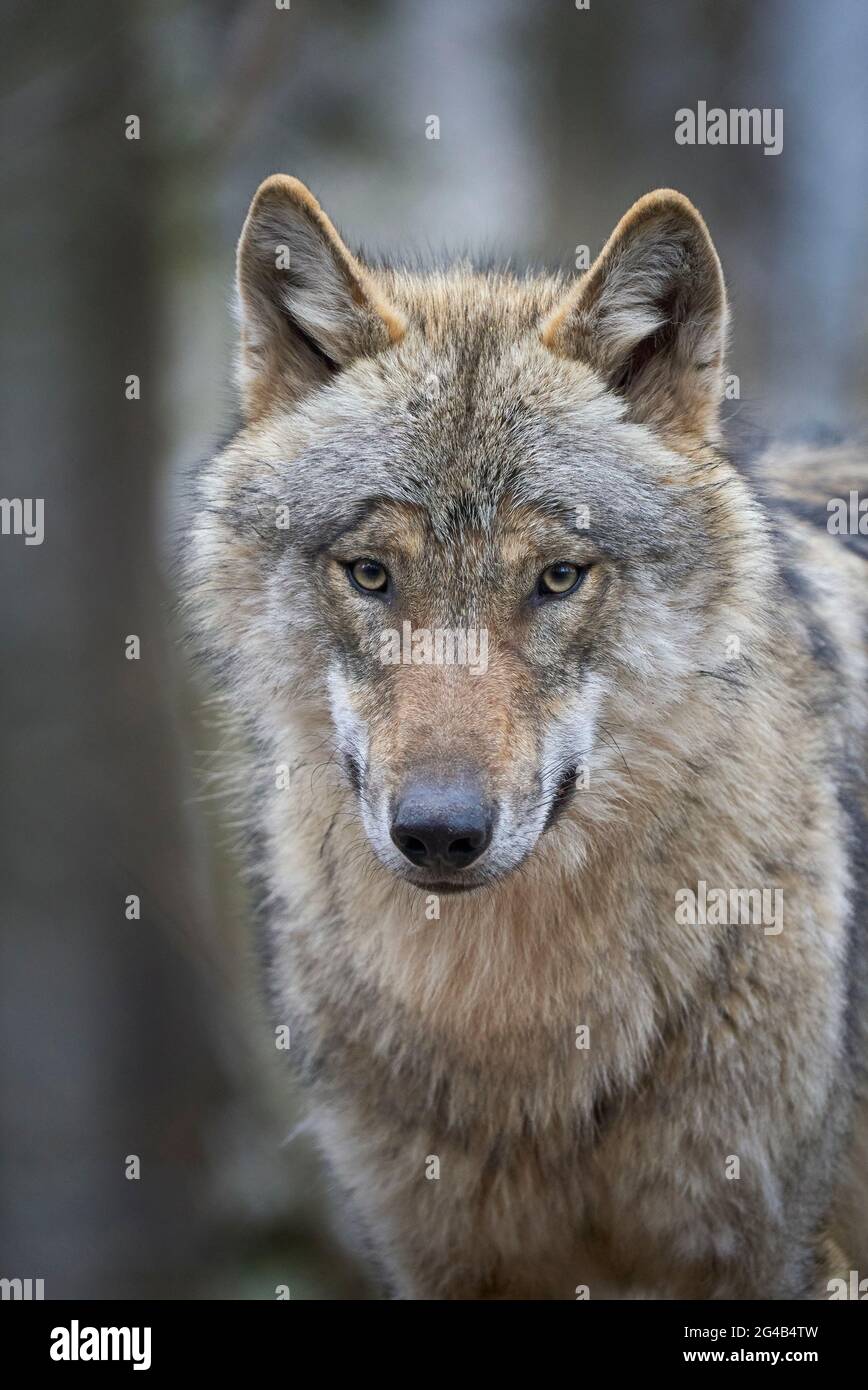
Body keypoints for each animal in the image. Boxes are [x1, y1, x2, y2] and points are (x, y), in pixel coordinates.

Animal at [184, 176, 868, 1298]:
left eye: (556, 577)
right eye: (371, 573)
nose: (439, 832)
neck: (516, 1030)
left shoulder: (763, 1253)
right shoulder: (440, 1263)